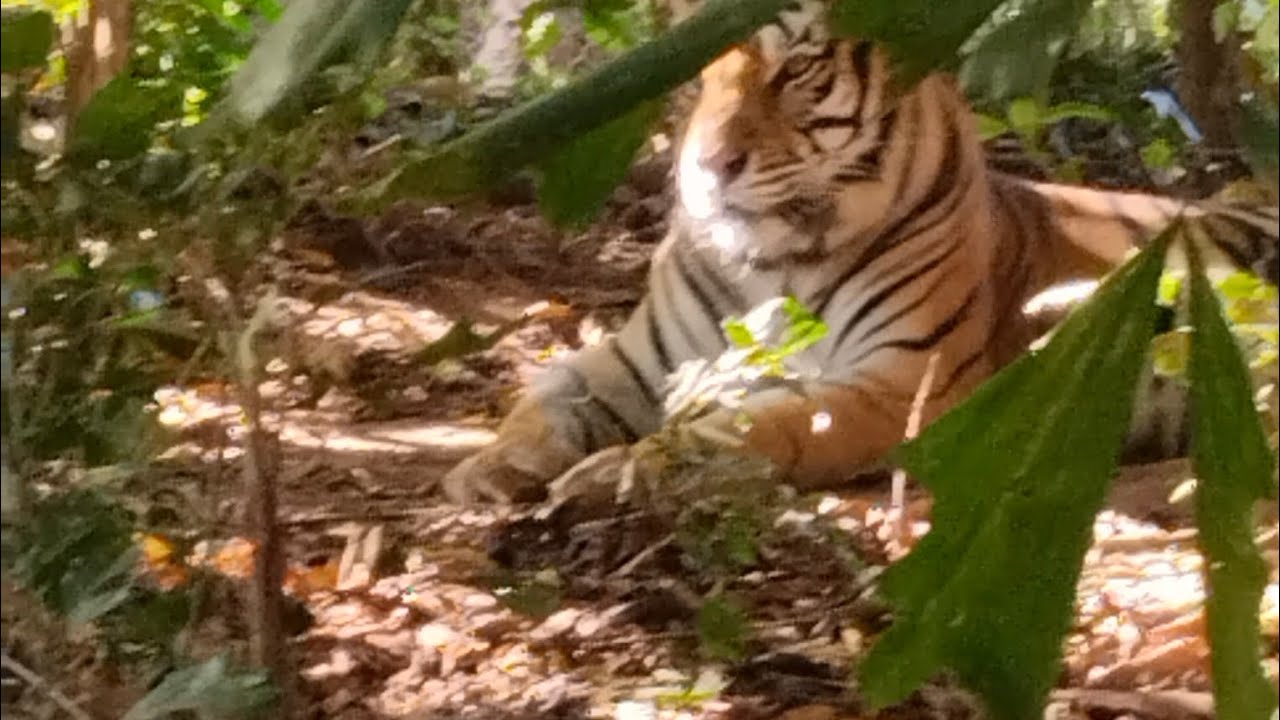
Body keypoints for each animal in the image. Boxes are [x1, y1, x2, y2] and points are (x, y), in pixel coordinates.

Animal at [440, 0, 1280, 508]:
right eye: (694, 77)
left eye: (795, 71)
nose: (709, 166)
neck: (772, 260)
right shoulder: (631, 360)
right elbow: (542, 394)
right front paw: (495, 467)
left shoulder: (903, 381)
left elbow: (757, 424)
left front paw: (622, 471)